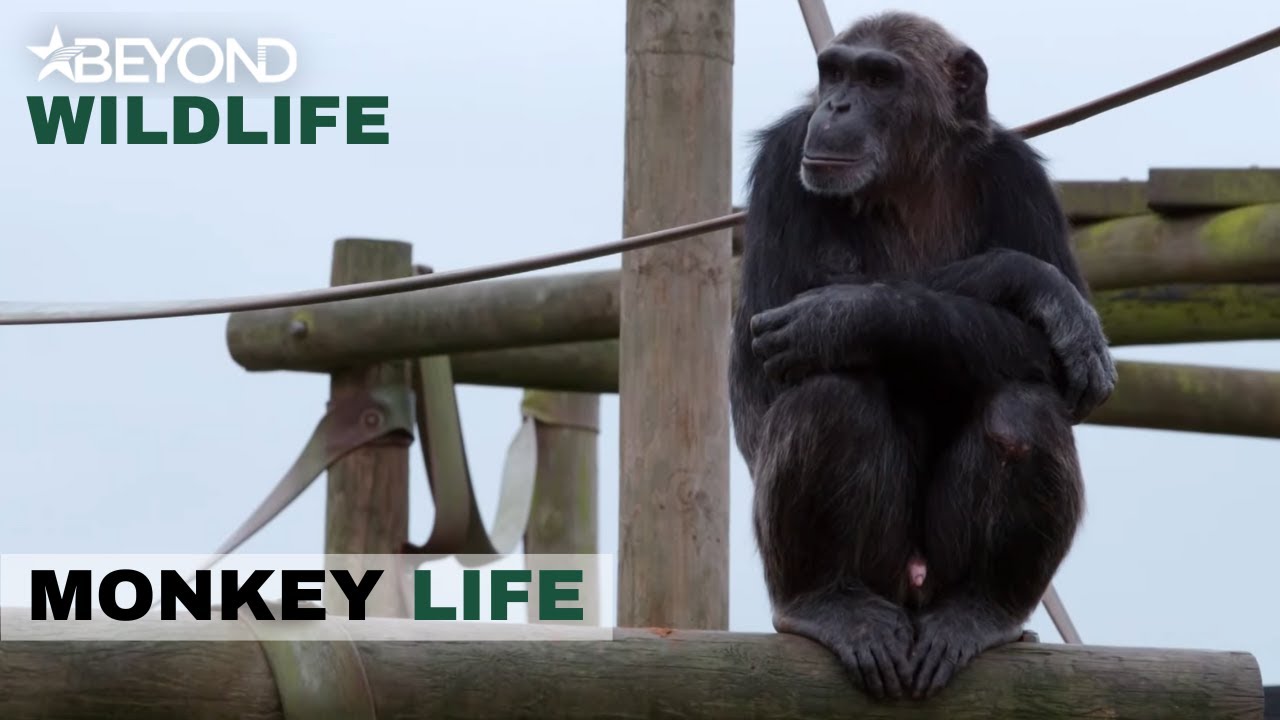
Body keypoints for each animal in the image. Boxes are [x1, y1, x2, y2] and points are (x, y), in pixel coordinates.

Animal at [729, 11, 1117, 701]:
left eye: (879, 78)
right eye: (836, 72)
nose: (836, 105)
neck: (908, 174)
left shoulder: (1022, 176)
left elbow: (1053, 364)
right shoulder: (783, 160)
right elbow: (776, 320)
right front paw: (1038, 286)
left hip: (932, 578)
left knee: (1023, 410)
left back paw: (981, 610)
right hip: (877, 573)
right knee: (829, 395)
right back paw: (829, 604)